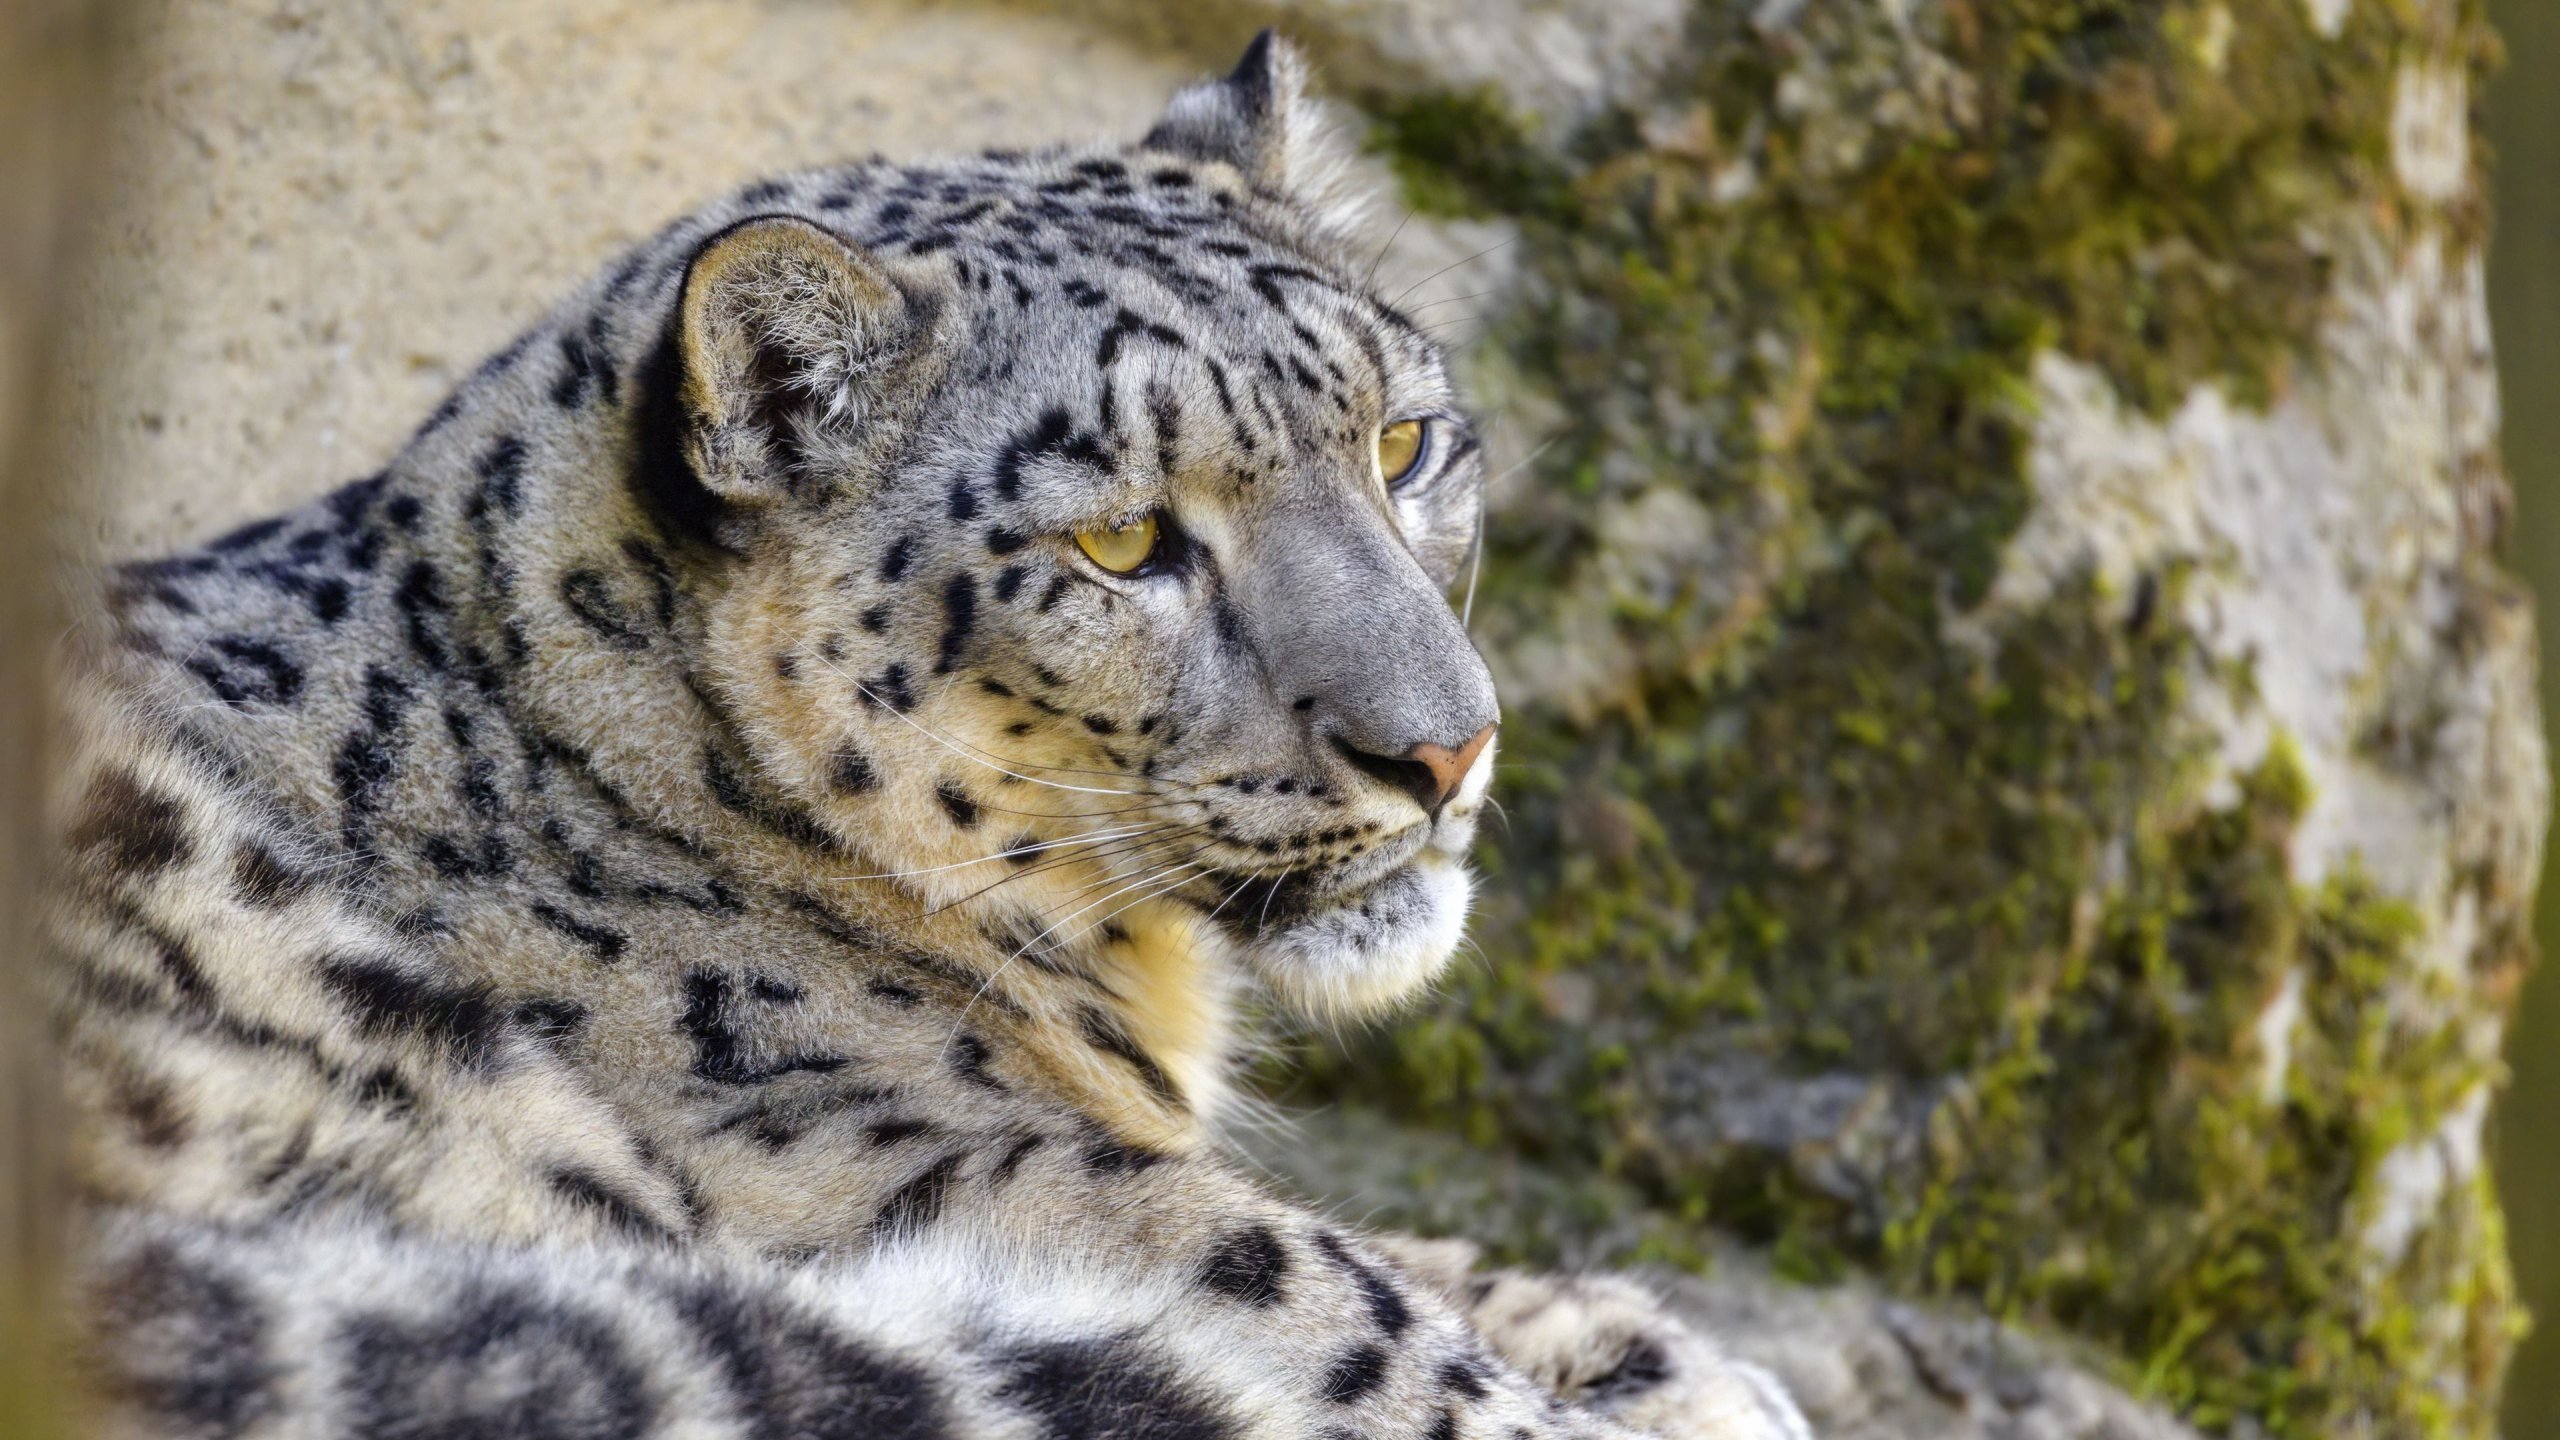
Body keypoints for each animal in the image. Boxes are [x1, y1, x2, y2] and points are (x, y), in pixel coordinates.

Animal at [48, 32, 1811, 1440]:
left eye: (1403, 443)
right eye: (1122, 542)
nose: (1447, 747)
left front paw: (1672, 1359)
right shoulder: (949, 1167)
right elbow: (1314, 1282)